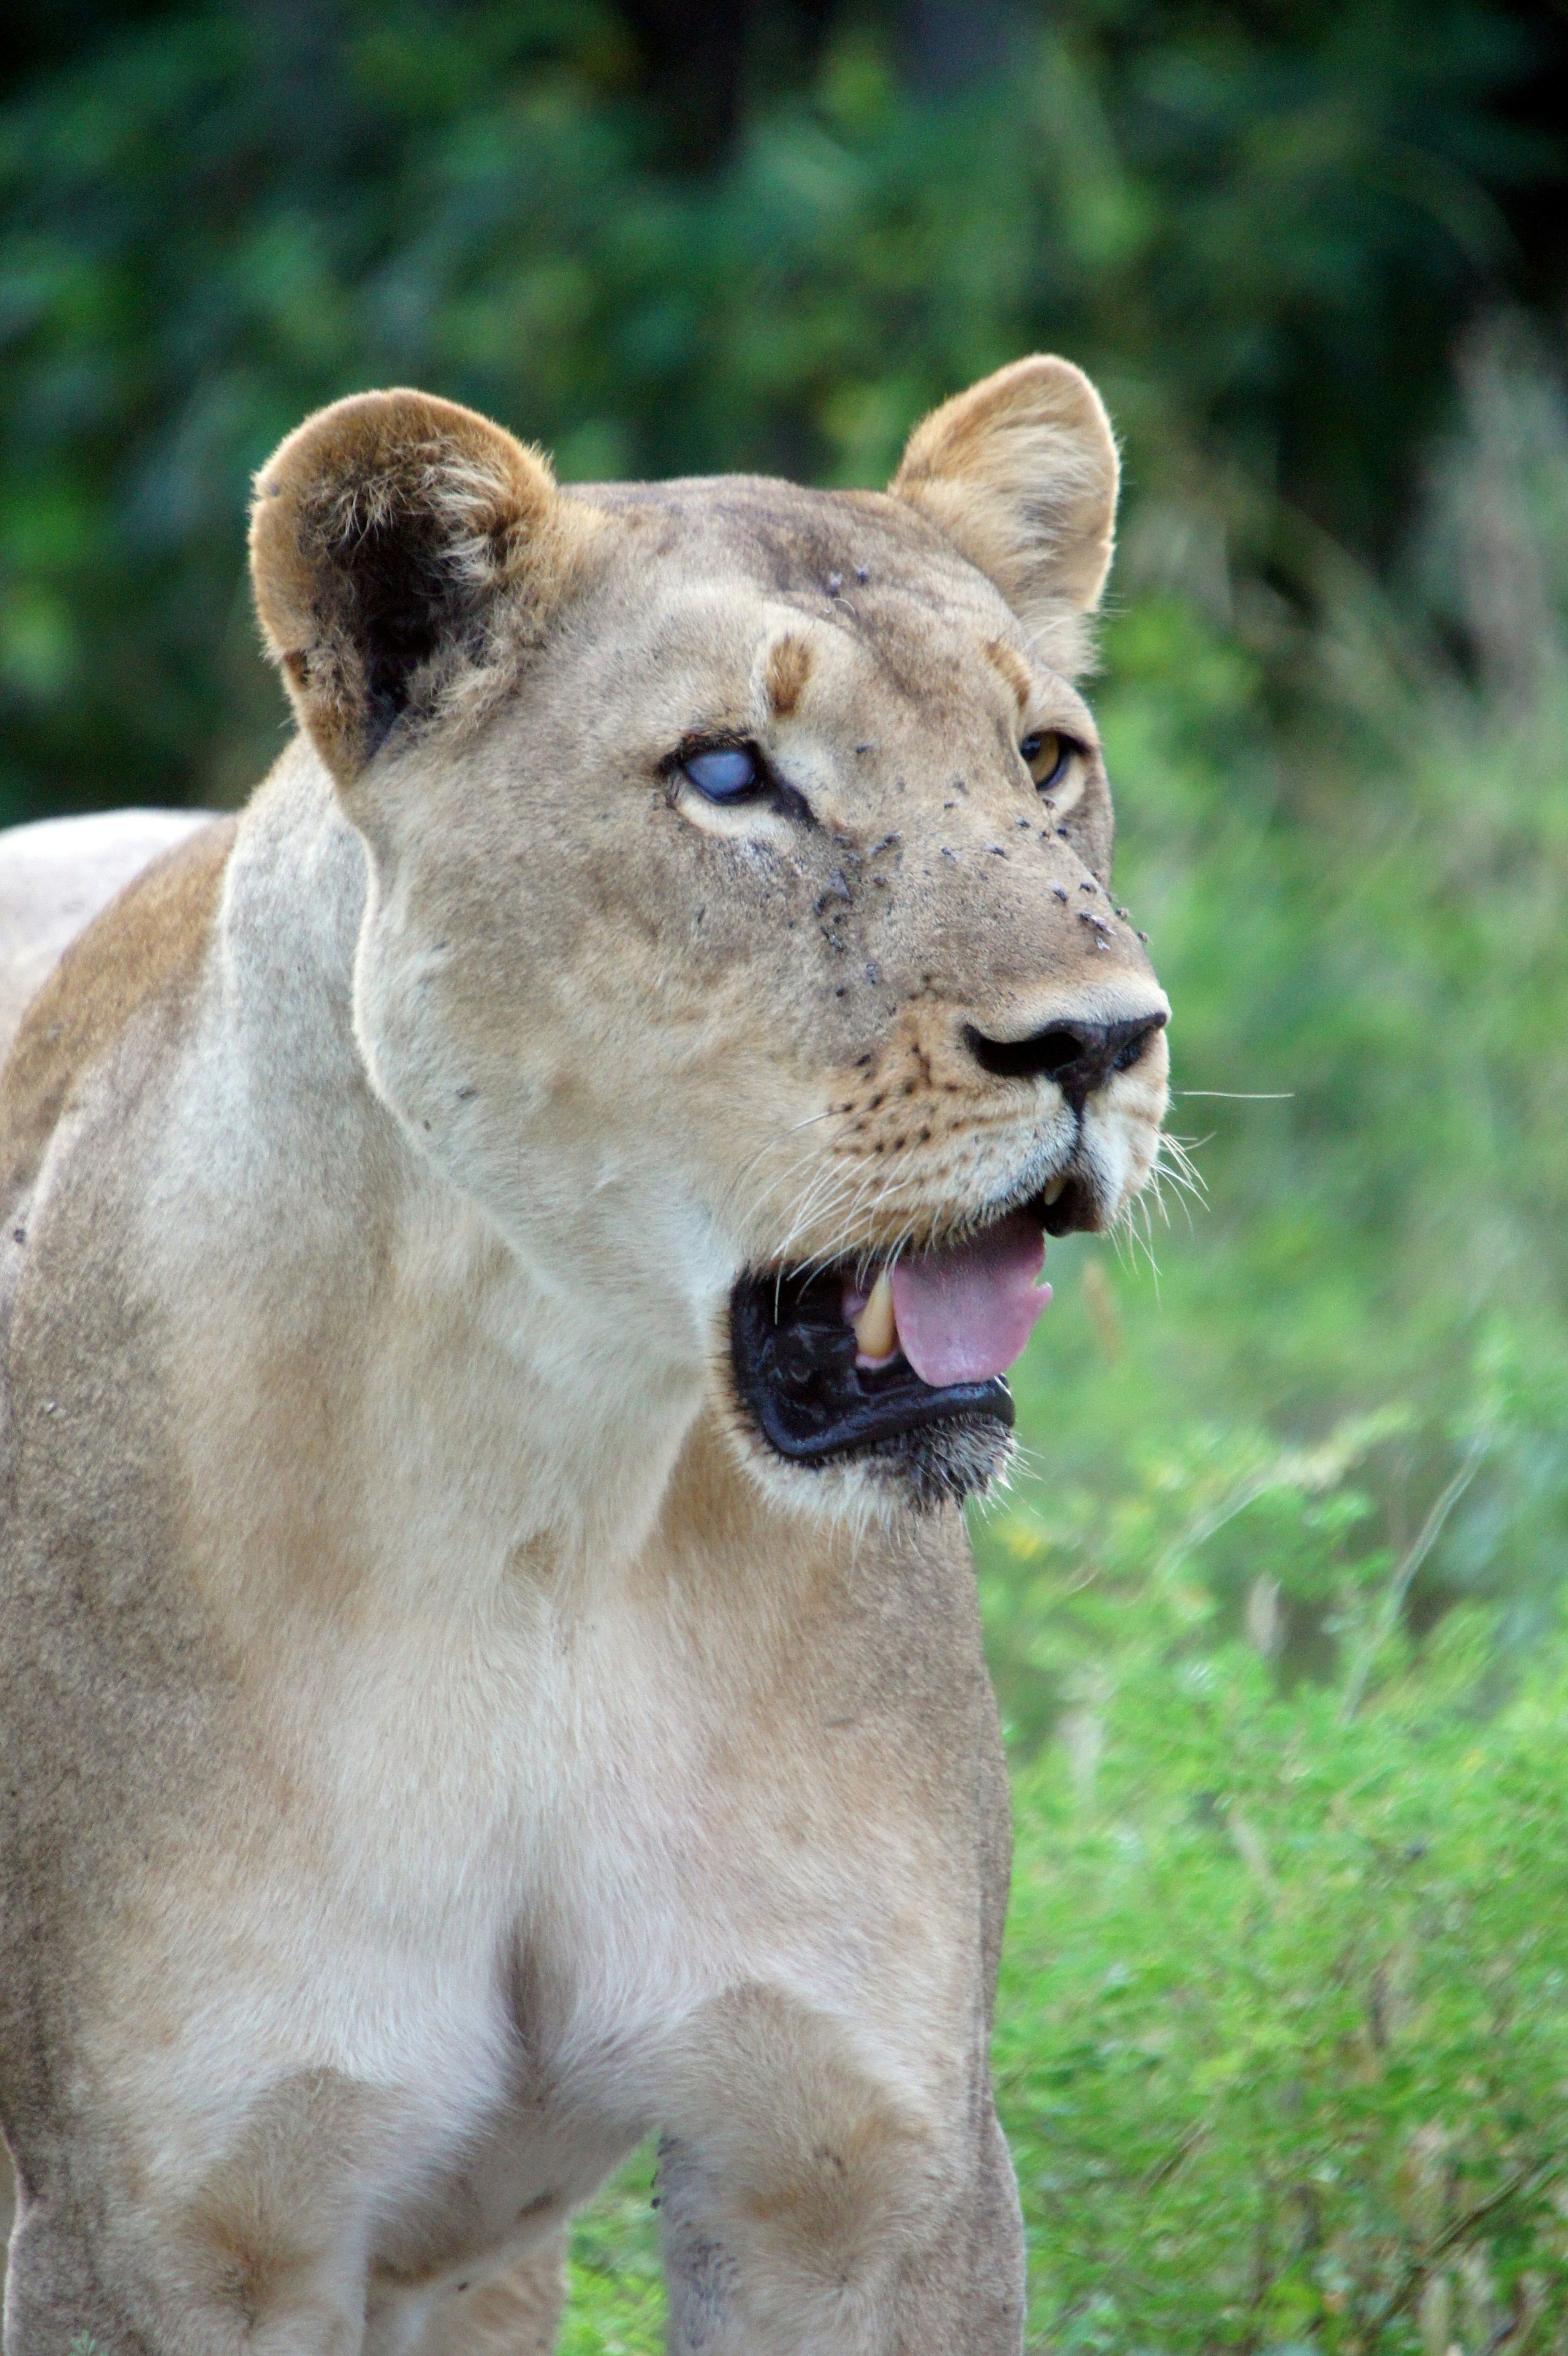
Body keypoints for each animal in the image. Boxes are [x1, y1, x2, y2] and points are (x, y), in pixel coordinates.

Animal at [0, 356, 1169, 2353]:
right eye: (728, 777)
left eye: (1041, 760)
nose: (1101, 1040)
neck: (550, 1480)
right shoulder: (164, 2220)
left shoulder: (864, 2164)